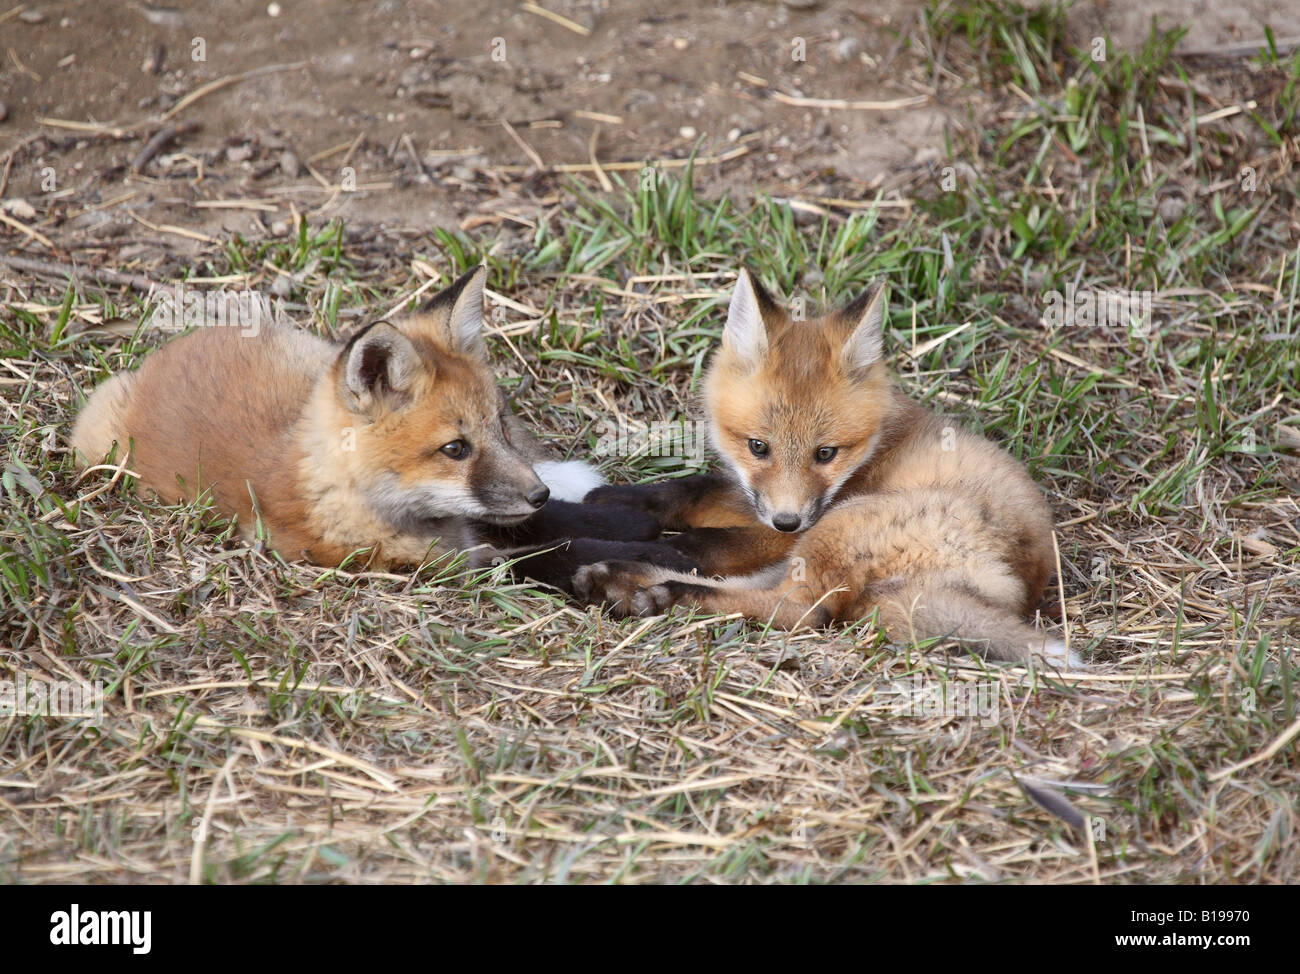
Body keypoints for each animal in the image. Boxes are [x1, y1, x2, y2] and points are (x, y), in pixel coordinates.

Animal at [69, 265, 666, 580]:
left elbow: (563, 524)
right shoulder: (440, 563)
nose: (538, 493)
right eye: (455, 449)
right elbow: (553, 550)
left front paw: (619, 517)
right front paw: (650, 553)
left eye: (498, 425)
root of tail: (165, 354)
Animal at [576, 269, 1082, 668]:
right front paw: (615, 500)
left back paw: (667, 593)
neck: (874, 447)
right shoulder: (759, 501)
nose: (787, 521)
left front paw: (636, 537)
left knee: (801, 612)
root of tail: (1014, 584)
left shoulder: (788, 528)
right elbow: (694, 488)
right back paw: (622, 580)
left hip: (836, 529)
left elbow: (698, 542)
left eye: (825, 453)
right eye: (758, 447)